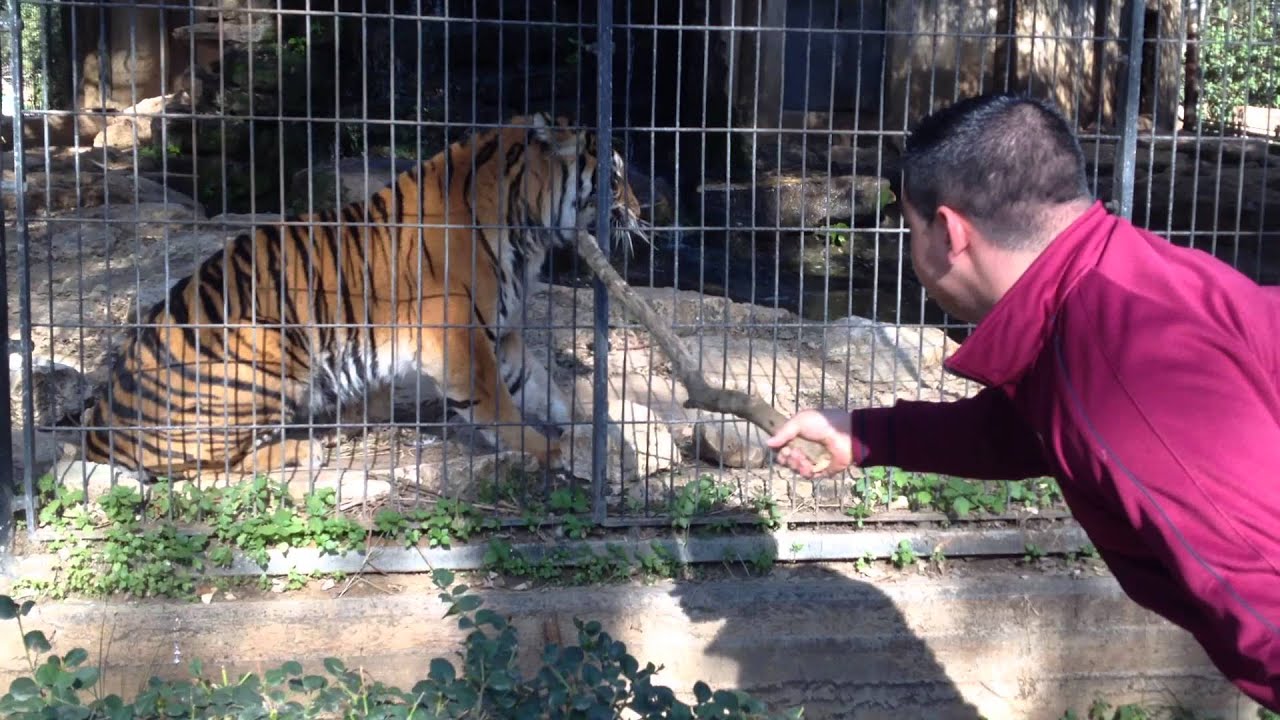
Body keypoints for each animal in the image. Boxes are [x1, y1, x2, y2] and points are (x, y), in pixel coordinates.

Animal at [78, 112, 647, 480]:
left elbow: (544, 389)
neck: (525, 226)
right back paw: (300, 452)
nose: (643, 214)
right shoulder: (458, 340)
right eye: (616, 179)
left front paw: (597, 433)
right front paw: (547, 451)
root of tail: (101, 419)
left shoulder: (501, 334)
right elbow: (501, 409)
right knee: (203, 474)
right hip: (265, 352)